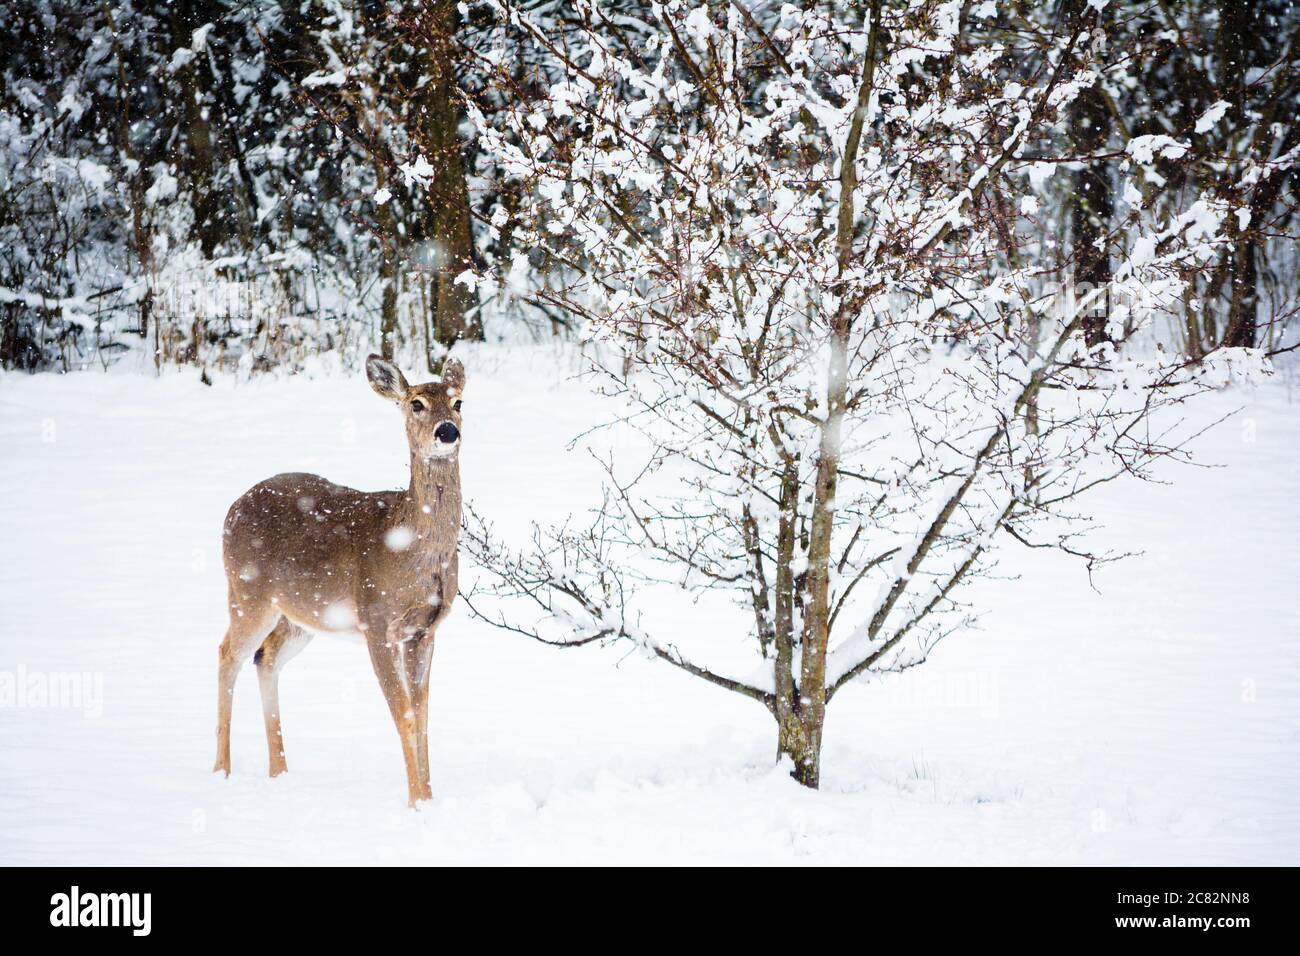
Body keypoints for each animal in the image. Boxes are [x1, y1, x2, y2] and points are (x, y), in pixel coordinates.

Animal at [214, 354, 465, 806]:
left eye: (459, 402)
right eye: (416, 403)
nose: (447, 431)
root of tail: (232, 507)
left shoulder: (425, 630)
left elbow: (422, 714)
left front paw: (429, 798)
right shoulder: (376, 621)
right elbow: (403, 714)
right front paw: (416, 803)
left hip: (300, 614)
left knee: (265, 657)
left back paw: (280, 772)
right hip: (247, 591)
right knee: (228, 654)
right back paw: (221, 770)